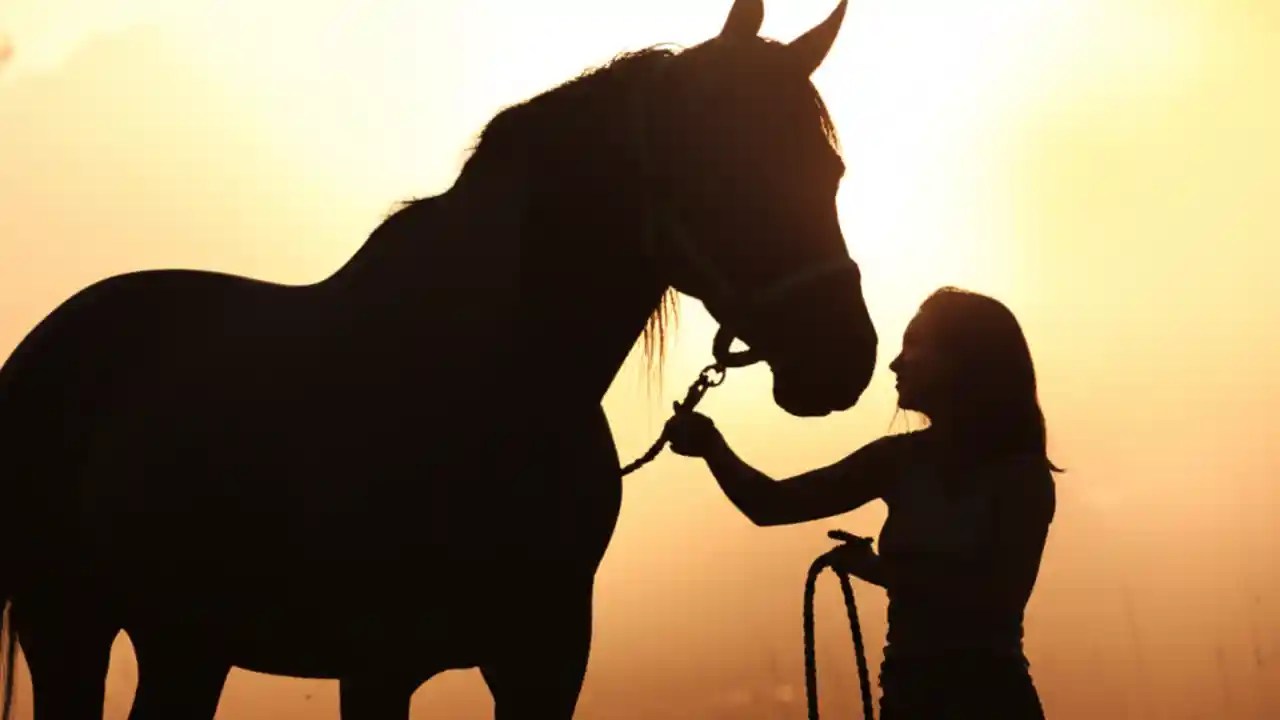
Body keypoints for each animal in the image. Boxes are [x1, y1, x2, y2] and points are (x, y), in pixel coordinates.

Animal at [0, 0, 877, 717]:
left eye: (831, 172)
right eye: (723, 166)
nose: (846, 358)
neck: (491, 390)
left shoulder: (547, 660)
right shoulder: (377, 666)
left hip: (185, 642)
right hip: (65, 625)